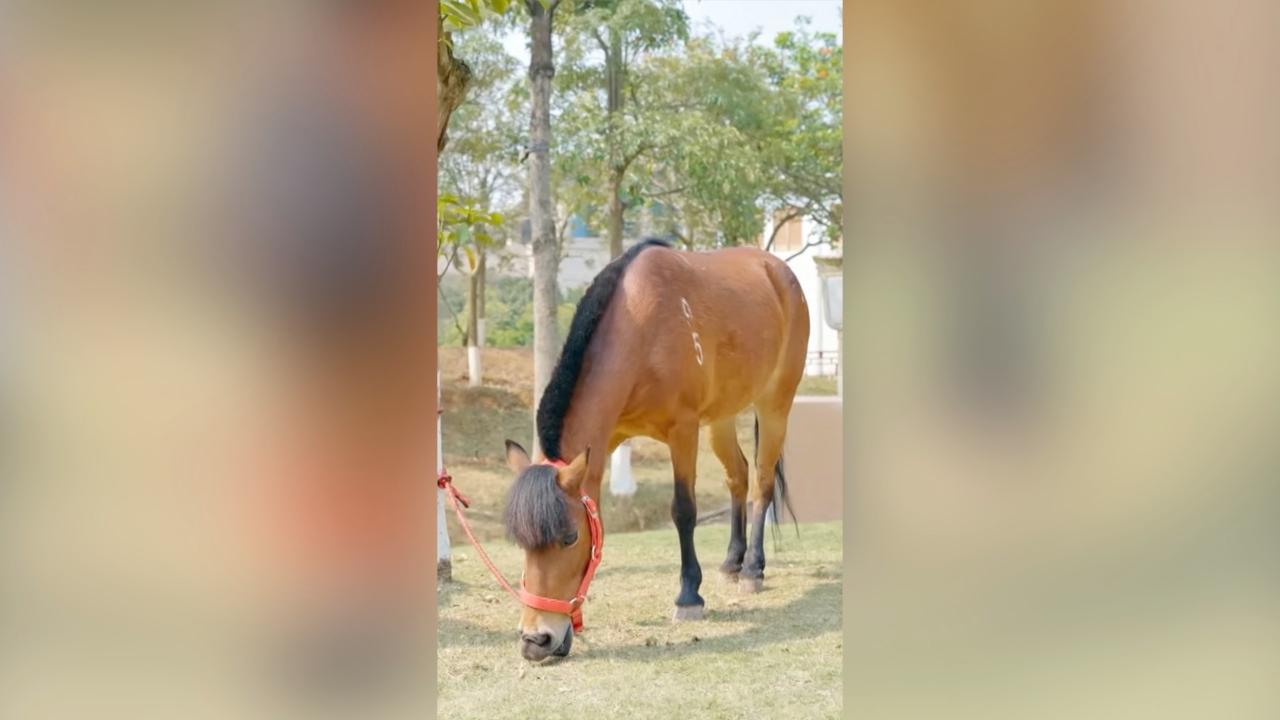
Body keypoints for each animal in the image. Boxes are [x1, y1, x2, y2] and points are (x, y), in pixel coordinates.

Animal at [501, 238, 810, 661]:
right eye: (521, 540)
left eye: (570, 537)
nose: (536, 641)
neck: (642, 325)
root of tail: (779, 270)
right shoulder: (609, 437)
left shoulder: (683, 431)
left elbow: (683, 510)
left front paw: (689, 596)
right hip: (723, 416)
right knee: (738, 476)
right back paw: (732, 562)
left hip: (775, 403)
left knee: (762, 483)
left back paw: (752, 570)